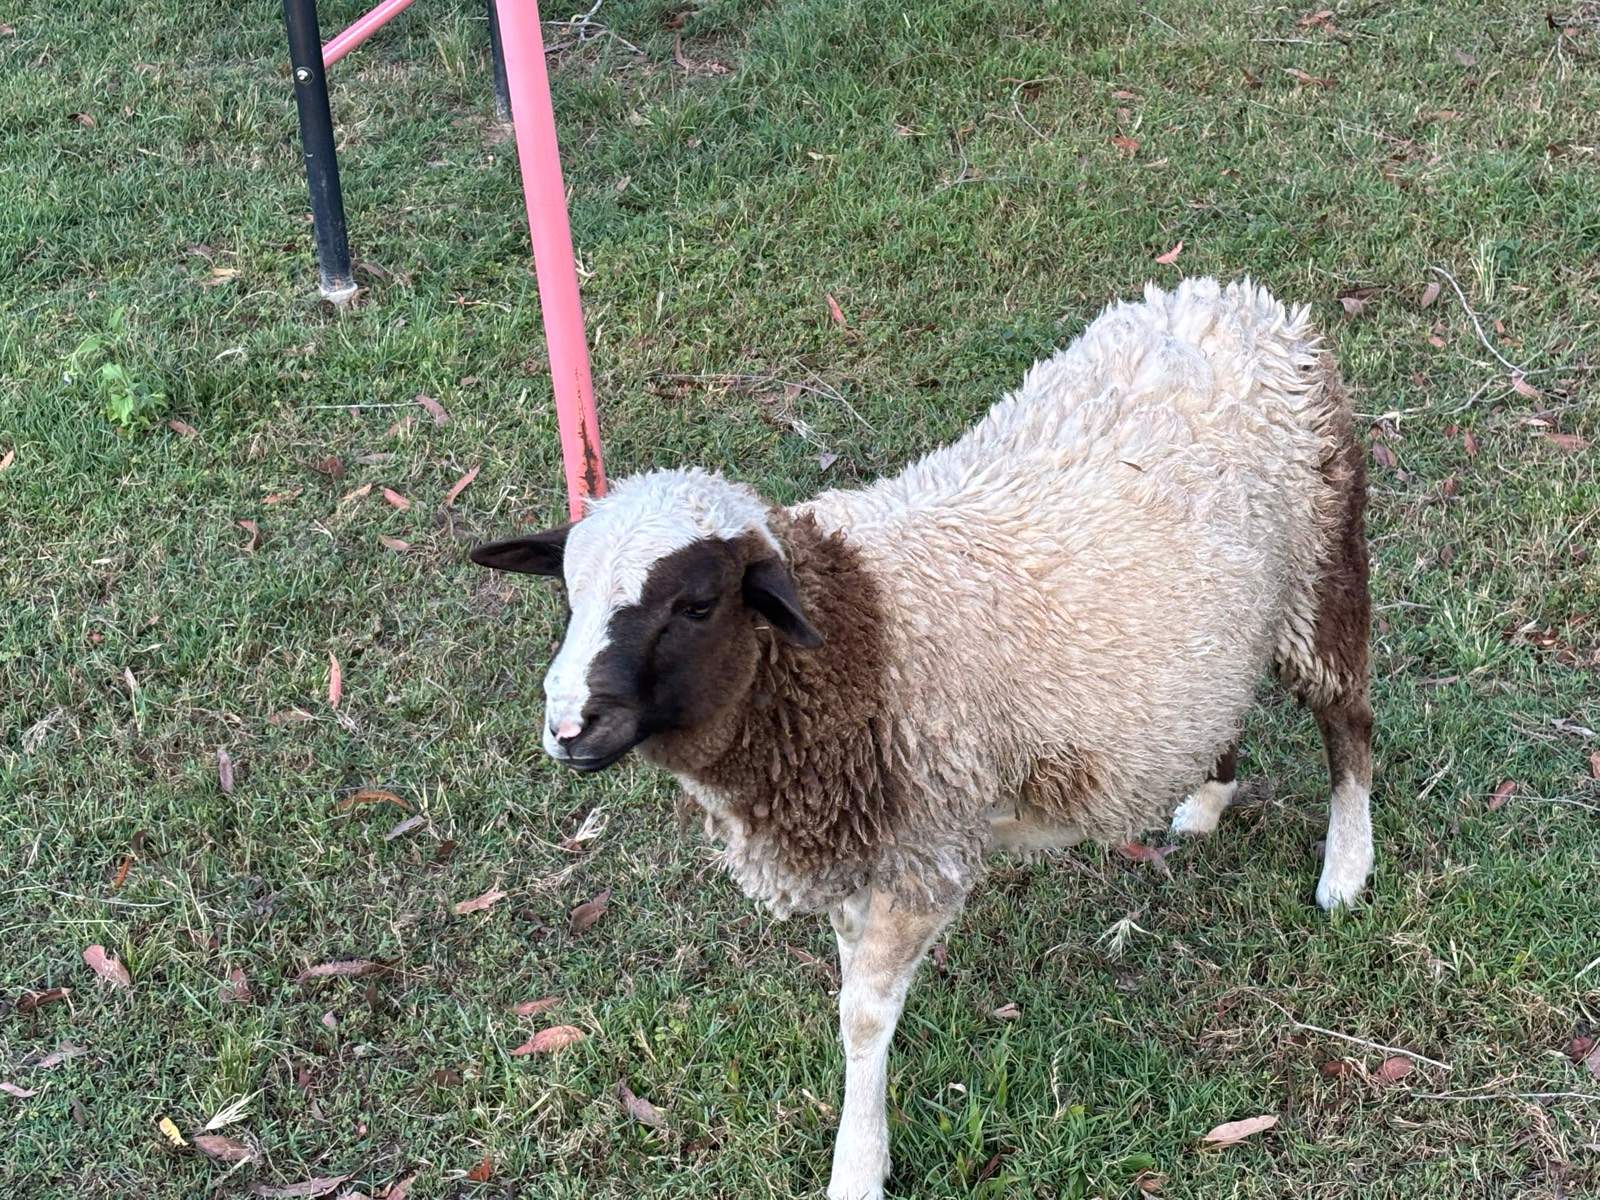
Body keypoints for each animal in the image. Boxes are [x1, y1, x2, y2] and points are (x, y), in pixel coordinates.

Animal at [470, 277, 1374, 1200]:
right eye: (569, 595)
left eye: (696, 605)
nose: (569, 726)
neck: (855, 629)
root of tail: (1228, 300)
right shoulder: (857, 844)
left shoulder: (922, 852)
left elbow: (865, 1017)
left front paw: (857, 1166)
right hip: (1221, 633)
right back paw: (1207, 799)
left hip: (1323, 560)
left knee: (1350, 719)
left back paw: (1346, 868)